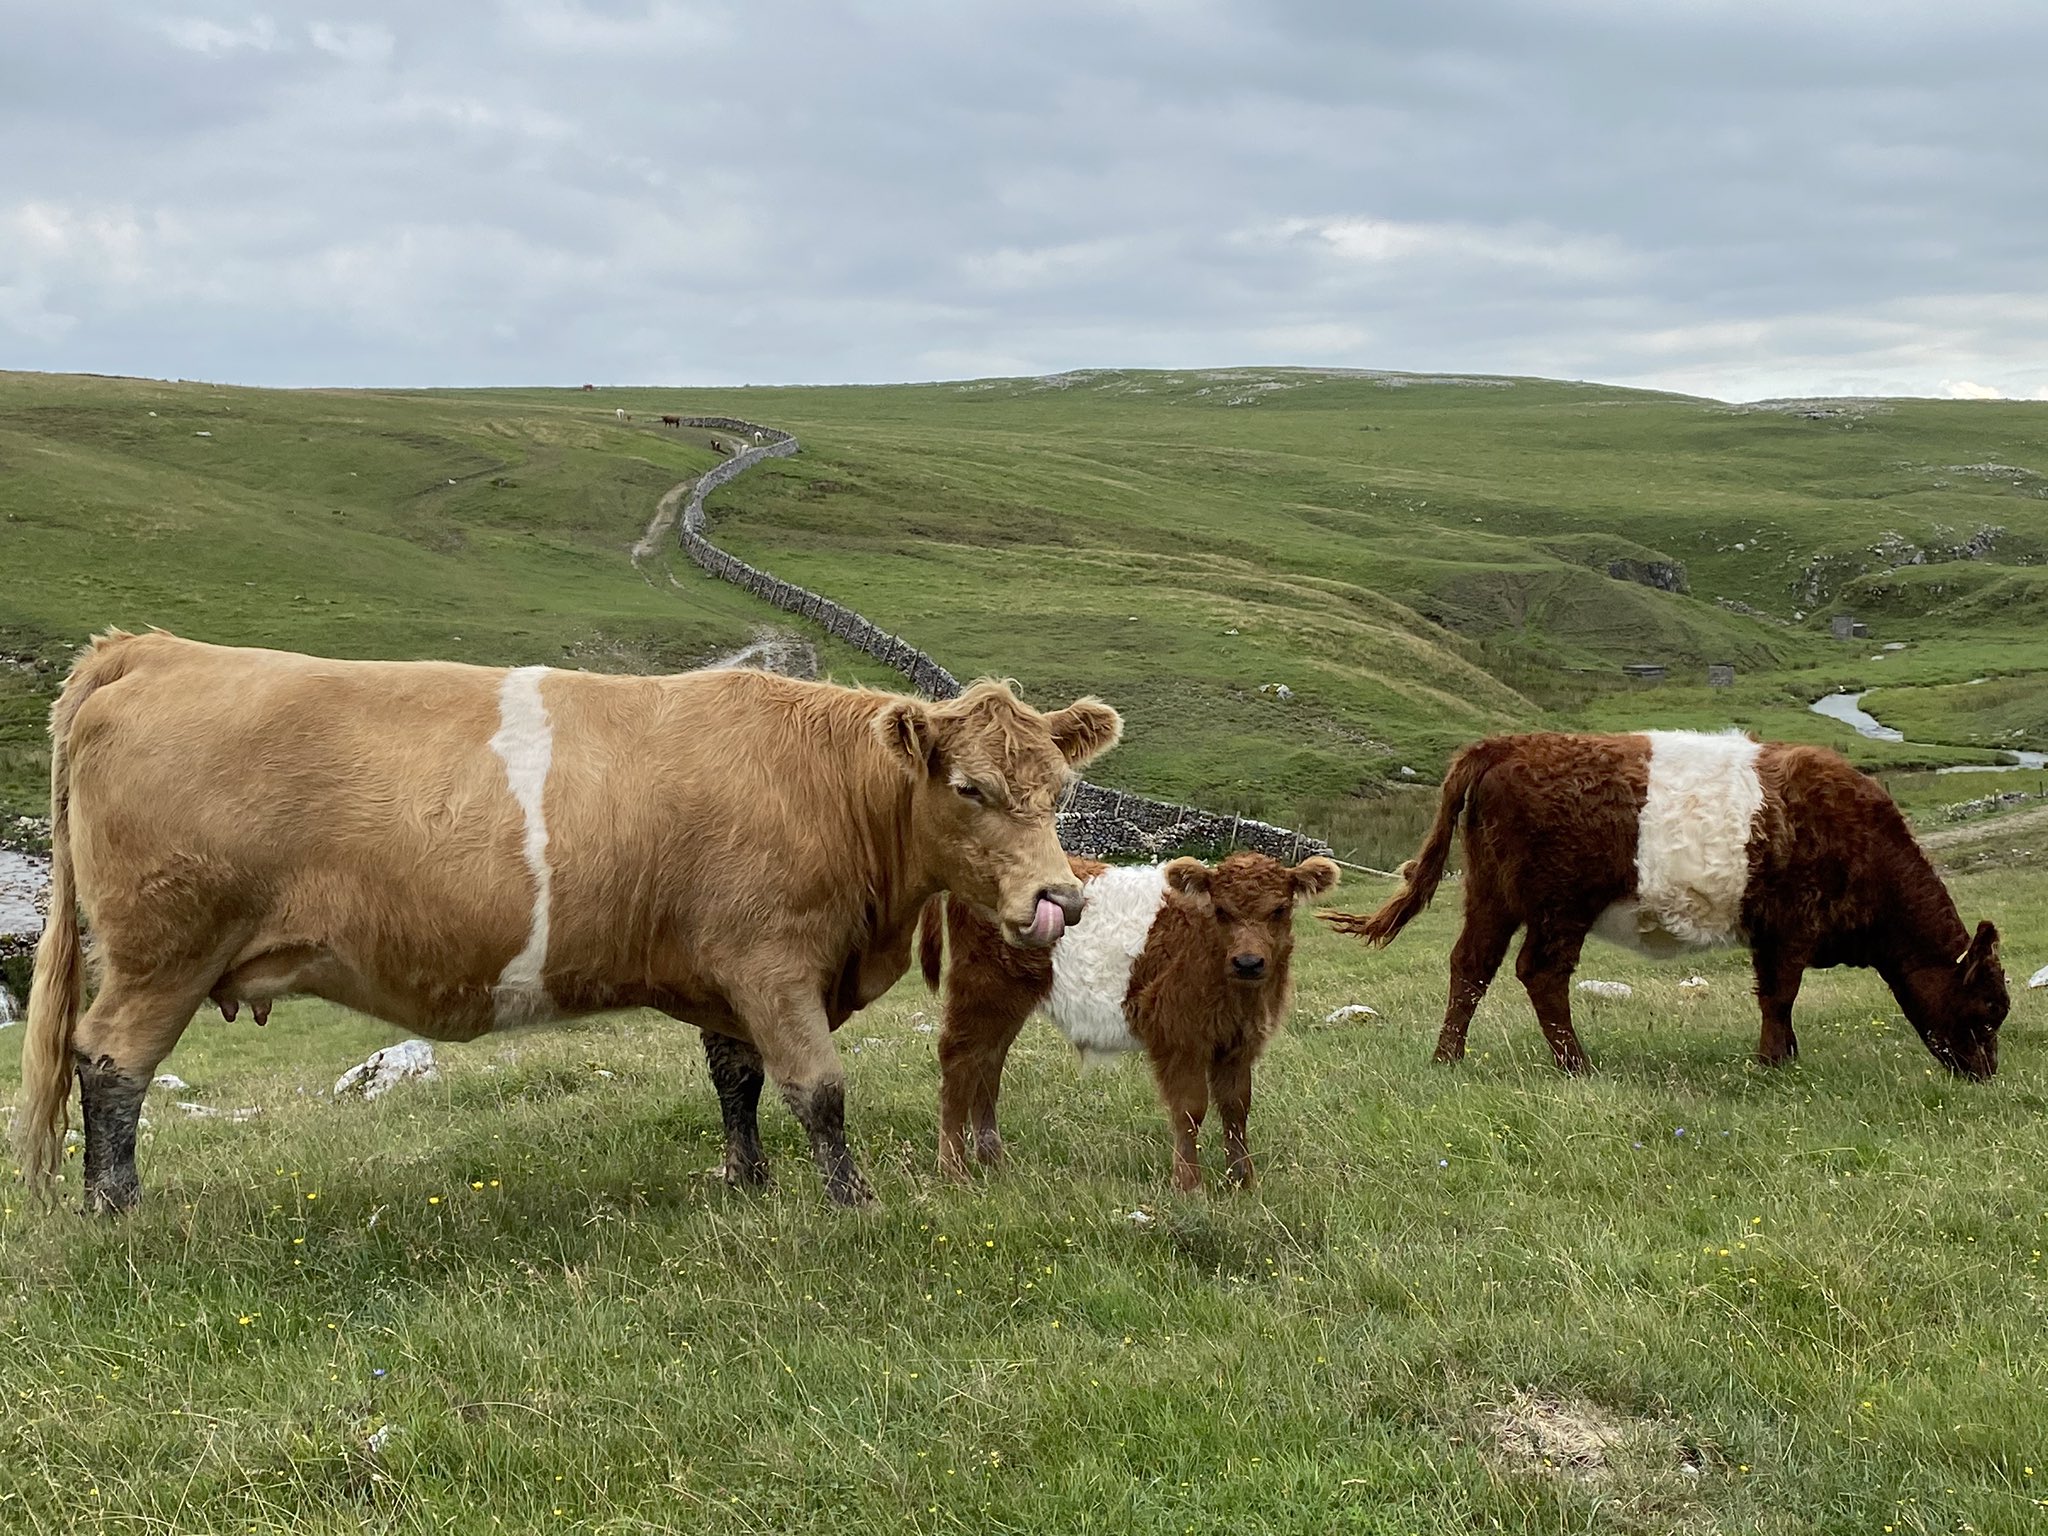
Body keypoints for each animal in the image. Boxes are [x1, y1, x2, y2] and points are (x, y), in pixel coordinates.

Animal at [13, 631, 1121, 1211]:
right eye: (970, 789)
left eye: (1062, 788)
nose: (1056, 900)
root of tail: (151, 650)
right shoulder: (772, 963)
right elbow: (819, 1090)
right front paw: (850, 1204)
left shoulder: (726, 976)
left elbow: (735, 1081)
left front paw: (746, 1181)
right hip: (163, 952)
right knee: (108, 1063)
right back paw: (115, 1209)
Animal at [919, 850, 1339, 1191]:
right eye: (1221, 910)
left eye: (1279, 910)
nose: (1249, 963)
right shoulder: (1180, 1036)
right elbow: (1190, 1110)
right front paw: (1189, 1185)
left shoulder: (1238, 1043)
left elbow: (1236, 1108)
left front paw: (1243, 1183)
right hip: (981, 990)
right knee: (959, 1059)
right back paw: (953, 1168)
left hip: (1006, 1003)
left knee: (987, 1065)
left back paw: (992, 1160)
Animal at [1322, 731, 2008, 1079]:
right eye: (1986, 1010)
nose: (1985, 1073)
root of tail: (1507, 744)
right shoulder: (1789, 927)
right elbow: (1780, 995)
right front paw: (1772, 1066)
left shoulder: (1776, 932)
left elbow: (1777, 998)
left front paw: (1783, 1056)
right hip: (1558, 904)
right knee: (1539, 973)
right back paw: (1577, 1065)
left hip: (1492, 893)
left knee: (1472, 965)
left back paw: (1448, 1059)